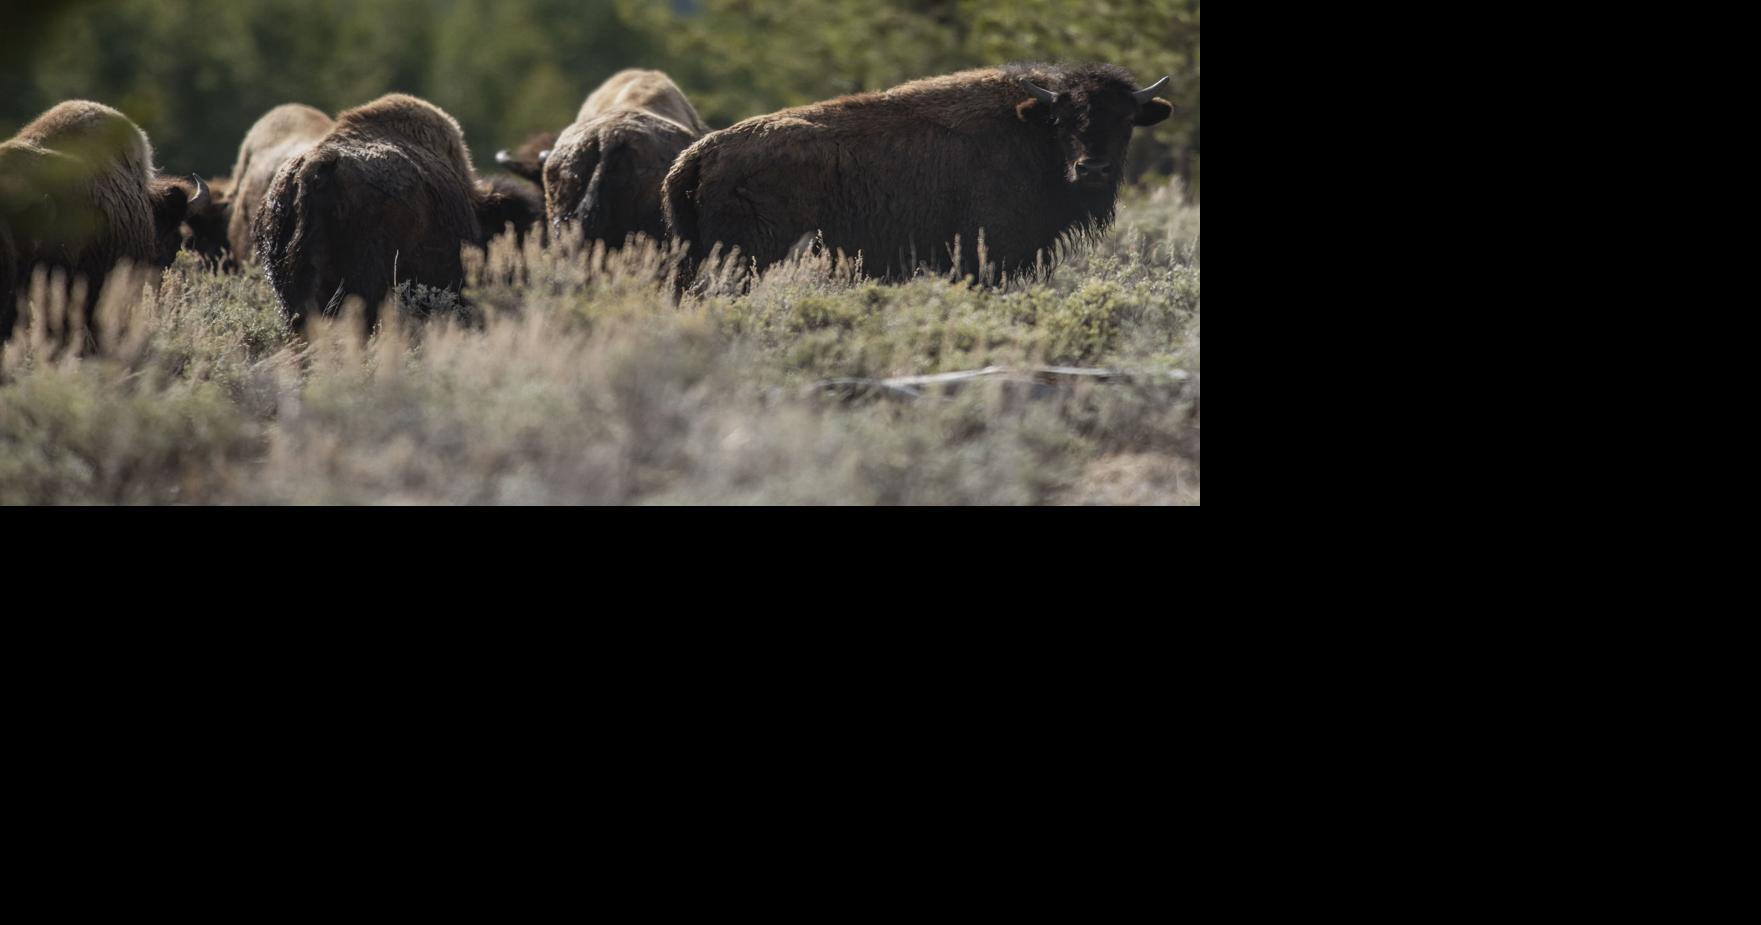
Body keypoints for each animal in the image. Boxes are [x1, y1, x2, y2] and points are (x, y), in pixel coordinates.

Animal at [663, 64, 1173, 283]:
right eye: (1063, 121)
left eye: (1126, 120)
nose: (1092, 168)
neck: (1031, 130)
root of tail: (699, 153)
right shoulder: (989, 255)